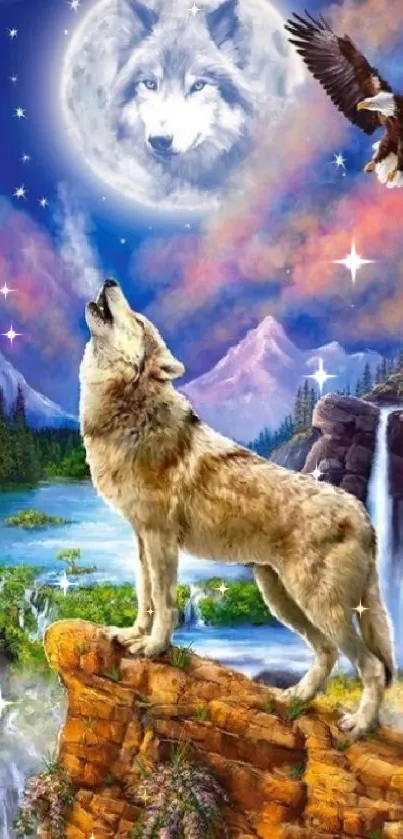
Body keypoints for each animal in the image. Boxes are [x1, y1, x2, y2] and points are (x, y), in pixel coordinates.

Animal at [80, 279, 395, 740]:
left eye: (136, 319)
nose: (109, 282)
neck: (129, 410)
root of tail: (364, 515)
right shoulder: (140, 538)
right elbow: (144, 596)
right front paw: (132, 634)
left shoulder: (160, 539)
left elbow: (165, 602)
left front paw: (154, 647)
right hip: (282, 598)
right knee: (327, 653)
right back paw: (296, 697)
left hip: (321, 606)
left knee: (371, 668)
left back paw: (359, 725)